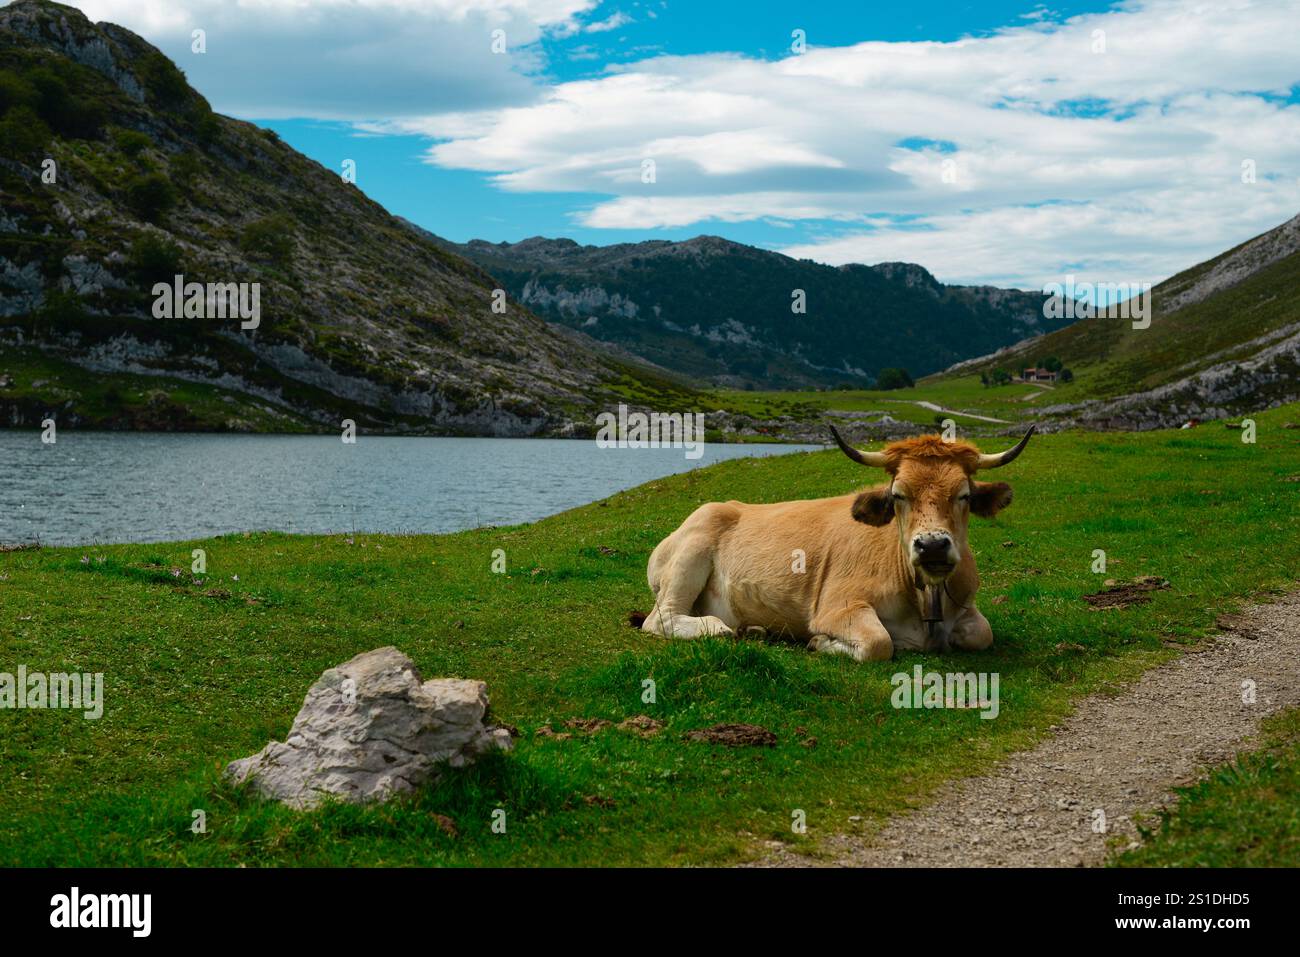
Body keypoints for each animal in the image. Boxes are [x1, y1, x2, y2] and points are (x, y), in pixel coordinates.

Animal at [638, 425, 1034, 660]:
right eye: (898, 495)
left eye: (964, 495)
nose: (933, 546)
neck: (924, 602)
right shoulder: (837, 606)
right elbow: (878, 643)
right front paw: (821, 642)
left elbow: (983, 633)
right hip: (692, 550)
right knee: (661, 619)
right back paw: (717, 628)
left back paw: (753, 629)